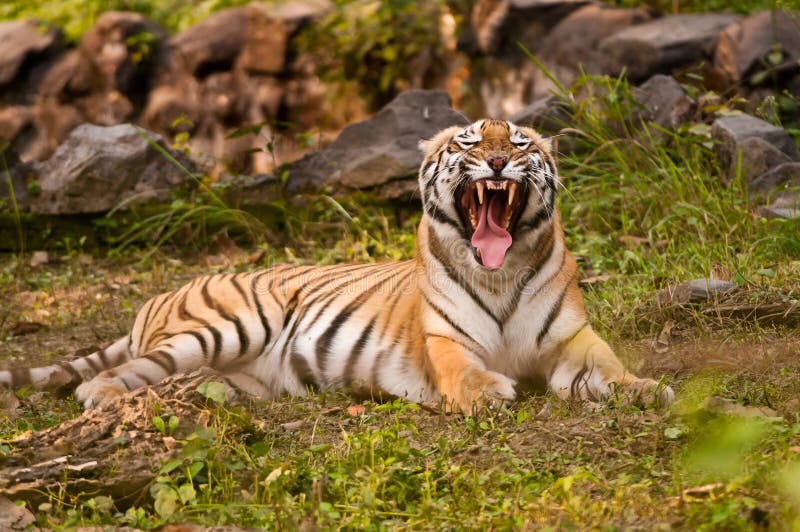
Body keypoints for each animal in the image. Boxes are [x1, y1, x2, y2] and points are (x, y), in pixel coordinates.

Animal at [0, 119, 674, 413]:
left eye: (520, 142)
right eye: (468, 142)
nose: (499, 162)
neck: (498, 270)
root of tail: (155, 299)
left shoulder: (573, 340)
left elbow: (610, 367)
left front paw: (647, 389)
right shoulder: (446, 344)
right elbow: (467, 373)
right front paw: (490, 392)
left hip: (234, 369)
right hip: (221, 327)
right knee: (114, 376)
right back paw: (105, 399)